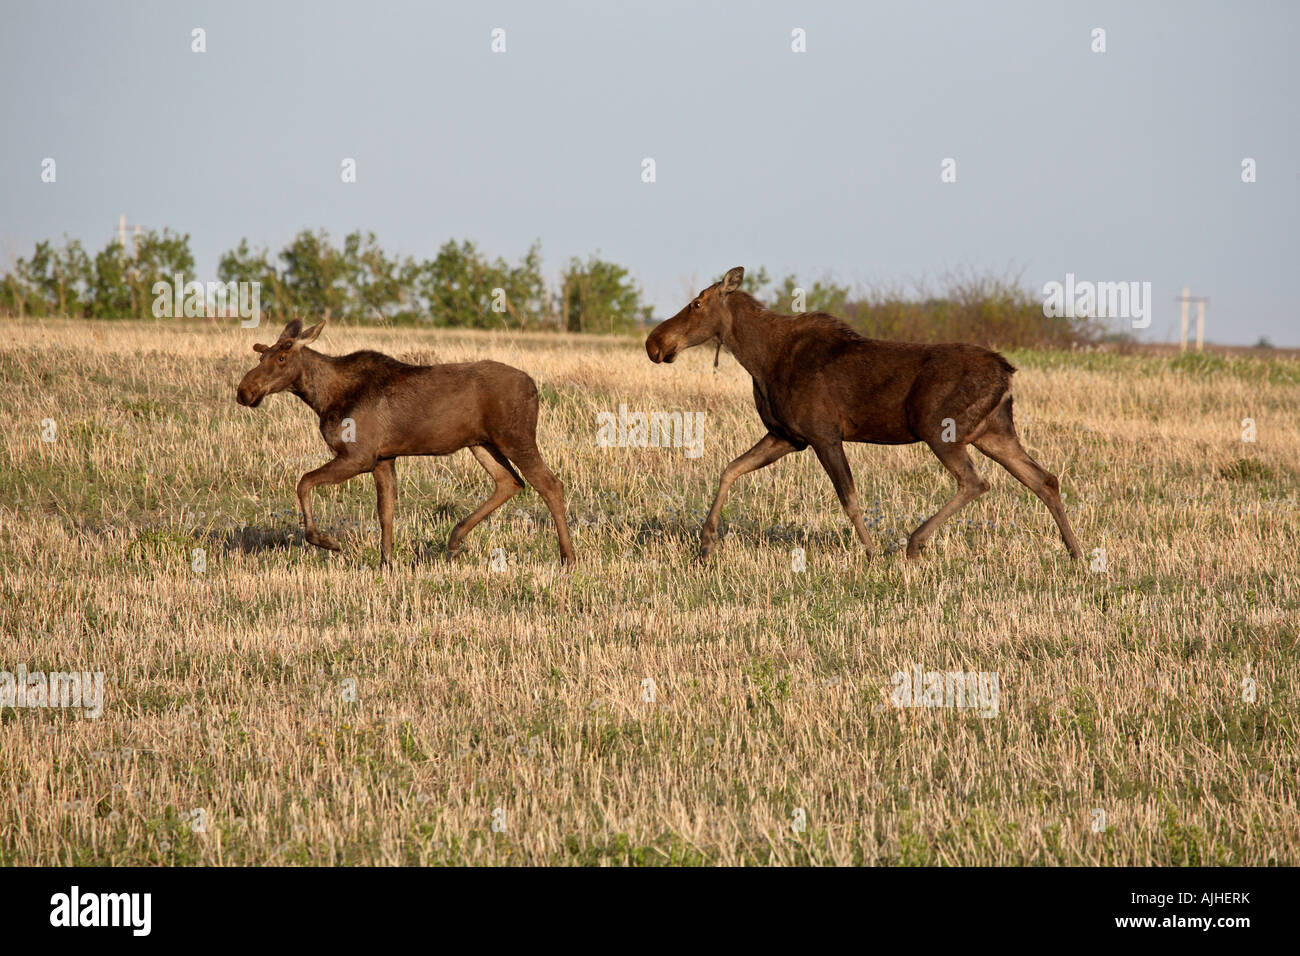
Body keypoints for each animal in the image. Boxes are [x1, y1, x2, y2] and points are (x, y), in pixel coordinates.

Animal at [235, 318, 574, 567]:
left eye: (282, 357)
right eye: (261, 356)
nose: (244, 391)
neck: (323, 398)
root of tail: (534, 387)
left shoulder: (359, 455)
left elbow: (303, 481)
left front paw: (328, 542)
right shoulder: (384, 458)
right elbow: (385, 512)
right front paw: (386, 563)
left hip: (515, 436)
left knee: (549, 483)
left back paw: (567, 557)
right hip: (481, 442)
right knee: (510, 482)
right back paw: (455, 539)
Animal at [645, 267, 1084, 562]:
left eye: (697, 303)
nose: (655, 342)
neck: (759, 360)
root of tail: (1007, 373)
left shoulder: (822, 434)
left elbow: (850, 499)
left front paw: (872, 553)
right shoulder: (789, 436)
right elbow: (730, 469)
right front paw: (706, 541)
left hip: (938, 427)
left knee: (975, 481)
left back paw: (914, 542)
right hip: (994, 432)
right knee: (1044, 479)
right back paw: (1076, 553)